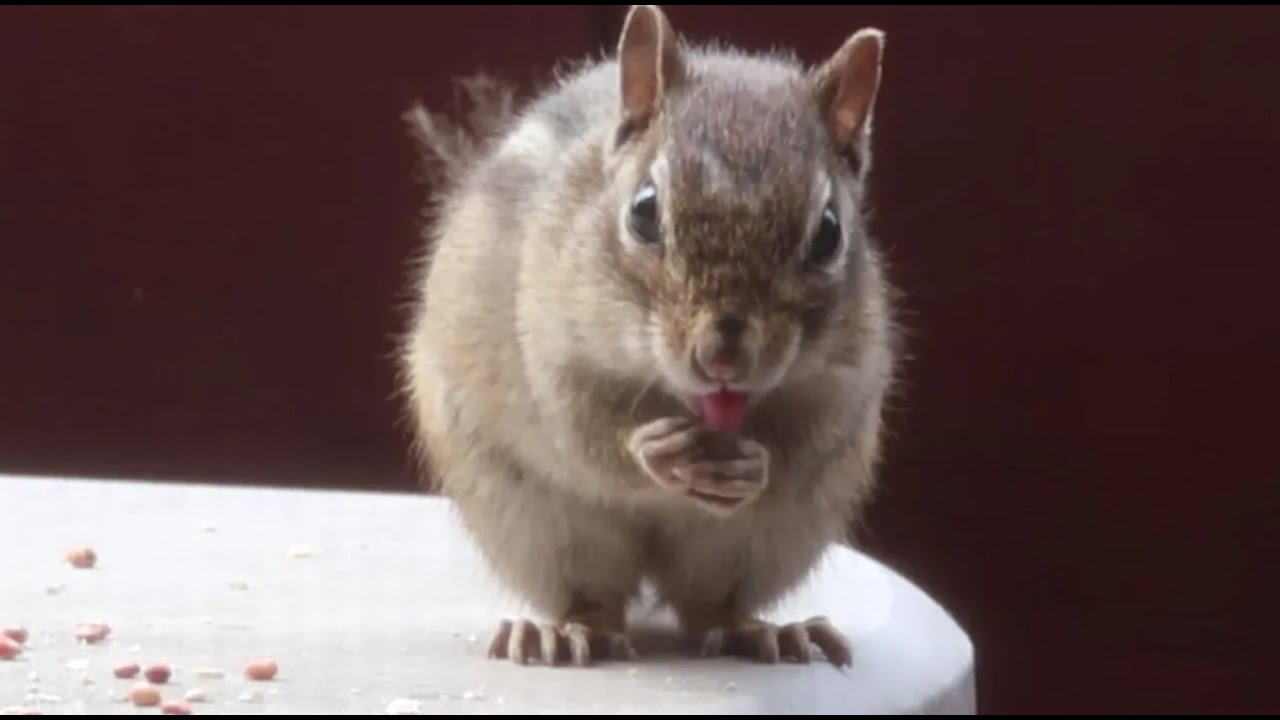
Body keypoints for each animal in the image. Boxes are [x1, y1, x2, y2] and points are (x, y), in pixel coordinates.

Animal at [399, 5, 897, 668]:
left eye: (828, 233)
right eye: (643, 210)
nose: (723, 355)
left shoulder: (845, 381)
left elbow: (800, 445)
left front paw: (754, 463)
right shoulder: (551, 351)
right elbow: (584, 432)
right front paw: (651, 450)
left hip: (763, 542)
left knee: (709, 607)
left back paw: (764, 630)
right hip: (536, 523)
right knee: (592, 597)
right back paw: (562, 632)